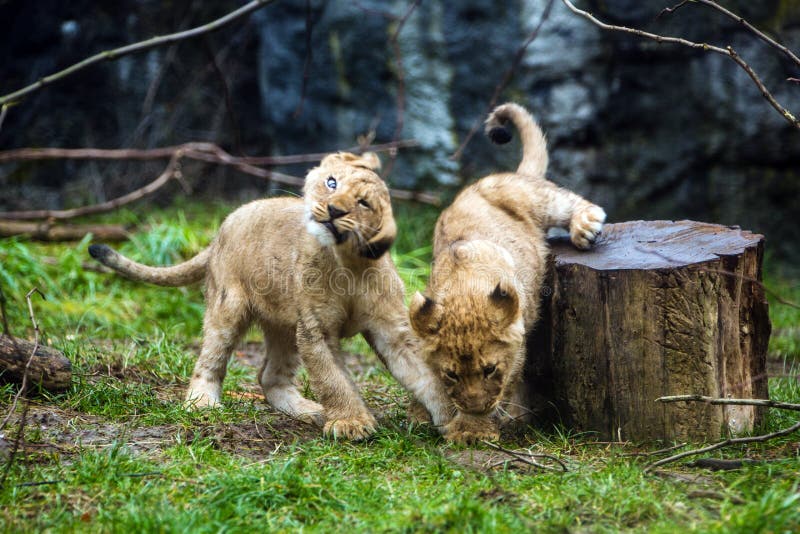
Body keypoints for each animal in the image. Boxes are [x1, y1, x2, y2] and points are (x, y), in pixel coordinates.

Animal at [89, 152, 453, 441]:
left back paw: (309, 410)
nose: (334, 210)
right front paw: (351, 422)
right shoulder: (316, 331)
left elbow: (424, 375)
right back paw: (202, 402)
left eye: (363, 203)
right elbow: (333, 379)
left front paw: (455, 421)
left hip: (284, 326)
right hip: (229, 306)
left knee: (270, 377)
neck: (348, 264)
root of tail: (220, 229)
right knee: (210, 359)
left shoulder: (391, 330)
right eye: (332, 183)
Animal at [408, 103, 606, 443]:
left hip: (534, 199)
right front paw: (428, 415)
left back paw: (585, 226)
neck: (465, 287)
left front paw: (474, 428)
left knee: (570, 200)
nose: (475, 406)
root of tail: (514, 174)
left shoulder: (517, 347)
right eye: (452, 374)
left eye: (489, 369)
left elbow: (504, 388)